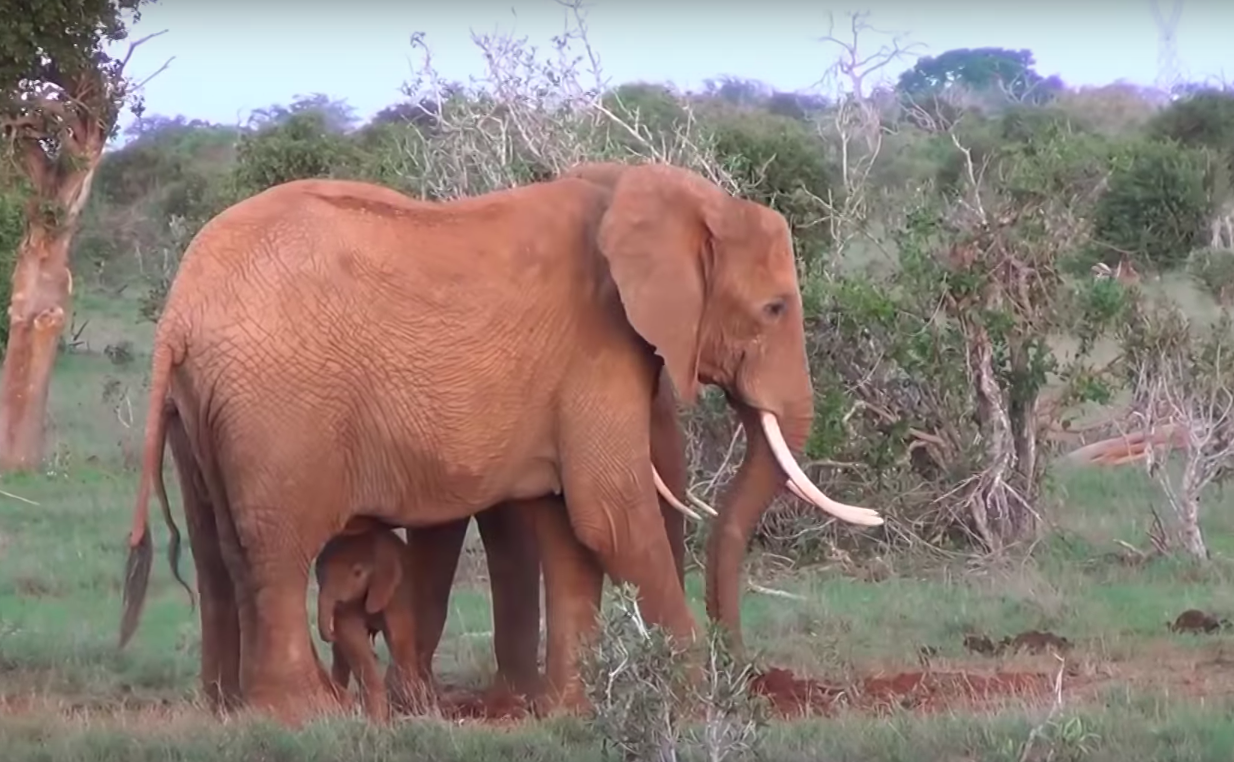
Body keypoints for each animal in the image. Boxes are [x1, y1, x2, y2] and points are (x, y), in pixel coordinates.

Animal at [315, 528, 424, 721]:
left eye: (358, 573)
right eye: (318, 573)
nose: (331, 632)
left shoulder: (397, 589)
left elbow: (399, 637)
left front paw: (412, 707)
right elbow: (352, 637)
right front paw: (378, 718)